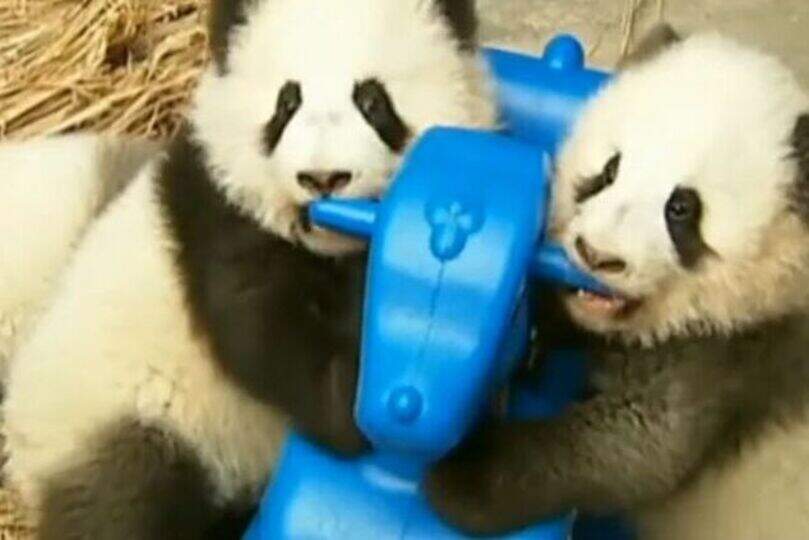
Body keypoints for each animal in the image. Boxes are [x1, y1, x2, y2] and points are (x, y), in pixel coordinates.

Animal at [425, 28, 809, 540]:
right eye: (609, 171)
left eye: (681, 208)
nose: (594, 254)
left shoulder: (740, 354)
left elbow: (639, 445)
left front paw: (463, 472)